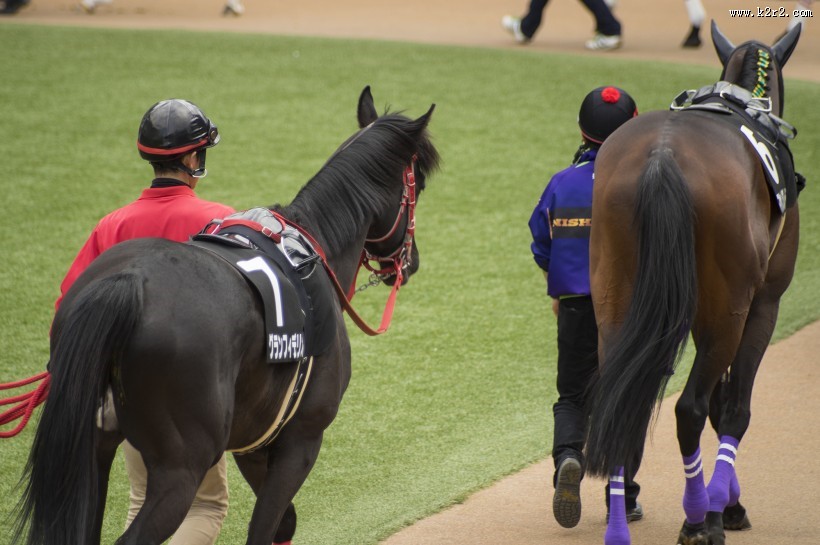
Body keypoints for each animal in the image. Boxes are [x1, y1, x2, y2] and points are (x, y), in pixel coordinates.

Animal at [11, 86, 440, 545]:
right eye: (420, 184)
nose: (411, 262)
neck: (310, 248)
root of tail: (128, 283)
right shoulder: (302, 438)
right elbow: (268, 525)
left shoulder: (253, 442)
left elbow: (283, 521)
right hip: (183, 465)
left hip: (92, 450)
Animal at [584, 22, 801, 545]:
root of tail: (663, 155)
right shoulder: (763, 302)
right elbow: (733, 407)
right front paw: (726, 508)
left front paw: (728, 504)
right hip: (728, 311)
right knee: (689, 408)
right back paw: (700, 517)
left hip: (616, 299)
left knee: (618, 403)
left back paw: (620, 527)